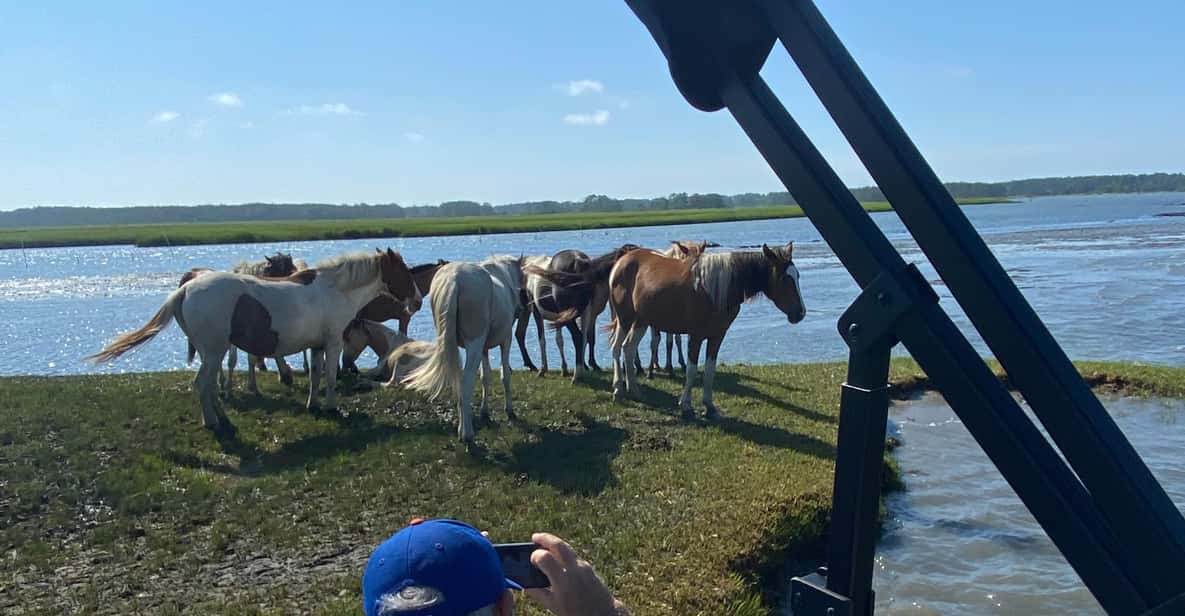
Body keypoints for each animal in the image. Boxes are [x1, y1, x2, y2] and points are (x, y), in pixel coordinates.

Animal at [91, 249, 419, 431]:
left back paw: (222, 419)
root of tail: (185, 289)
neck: (333, 289)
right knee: (203, 384)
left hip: (212, 353)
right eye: (402, 272)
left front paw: (314, 405)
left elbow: (314, 375)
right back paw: (214, 423)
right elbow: (327, 376)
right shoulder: (332, 343)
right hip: (214, 351)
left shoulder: (316, 346)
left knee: (210, 386)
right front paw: (331, 407)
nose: (416, 300)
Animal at [399, 256, 525, 442]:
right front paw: (509, 411)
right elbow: (505, 375)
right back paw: (467, 434)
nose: (521, 308)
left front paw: (485, 412)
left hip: (452, 342)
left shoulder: (483, 348)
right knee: (466, 380)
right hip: (475, 342)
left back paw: (462, 429)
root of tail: (454, 280)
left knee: (459, 378)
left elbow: (485, 376)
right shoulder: (505, 340)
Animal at [516, 245, 638, 382]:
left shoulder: (538, 312)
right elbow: (559, 340)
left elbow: (542, 340)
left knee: (578, 337)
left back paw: (577, 375)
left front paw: (543, 369)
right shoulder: (558, 317)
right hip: (585, 312)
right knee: (584, 338)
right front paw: (563, 369)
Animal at [607, 242, 805, 419]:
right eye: (785, 279)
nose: (800, 313)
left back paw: (634, 390)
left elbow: (710, 371)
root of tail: (622, 260)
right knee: (617, 348)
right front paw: (686, 407)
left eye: (797, 276)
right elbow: (692, 371)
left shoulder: (717, 336)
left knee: (628, 348)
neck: (715, 291)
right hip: (625, 318)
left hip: (641, 321)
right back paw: (618, 389)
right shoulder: (695, 336)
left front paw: (709, 407)